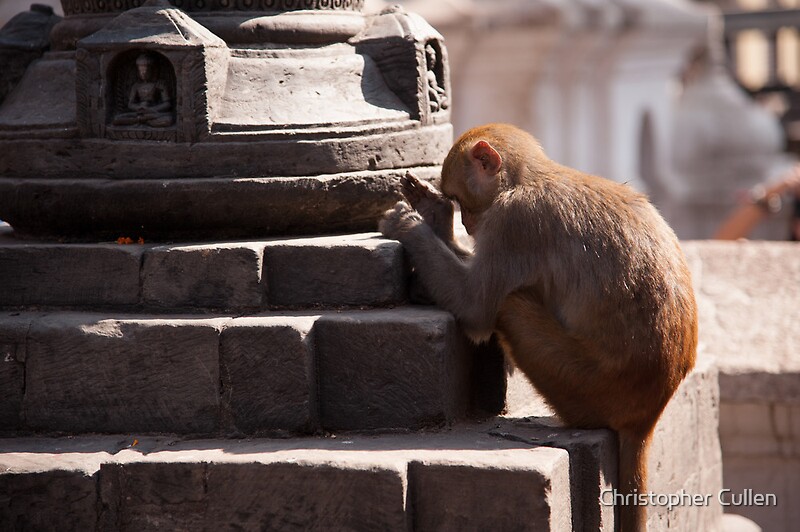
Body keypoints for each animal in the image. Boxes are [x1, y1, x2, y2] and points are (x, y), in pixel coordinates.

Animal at [379, 123, 698, 532]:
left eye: (464, 199)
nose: (466, 223)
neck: (527, 179)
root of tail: (648, 414)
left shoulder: (512, 223)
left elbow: (475, 306)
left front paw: (410, 226)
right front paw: (434, 217)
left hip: (583, 383)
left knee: (510, 304)